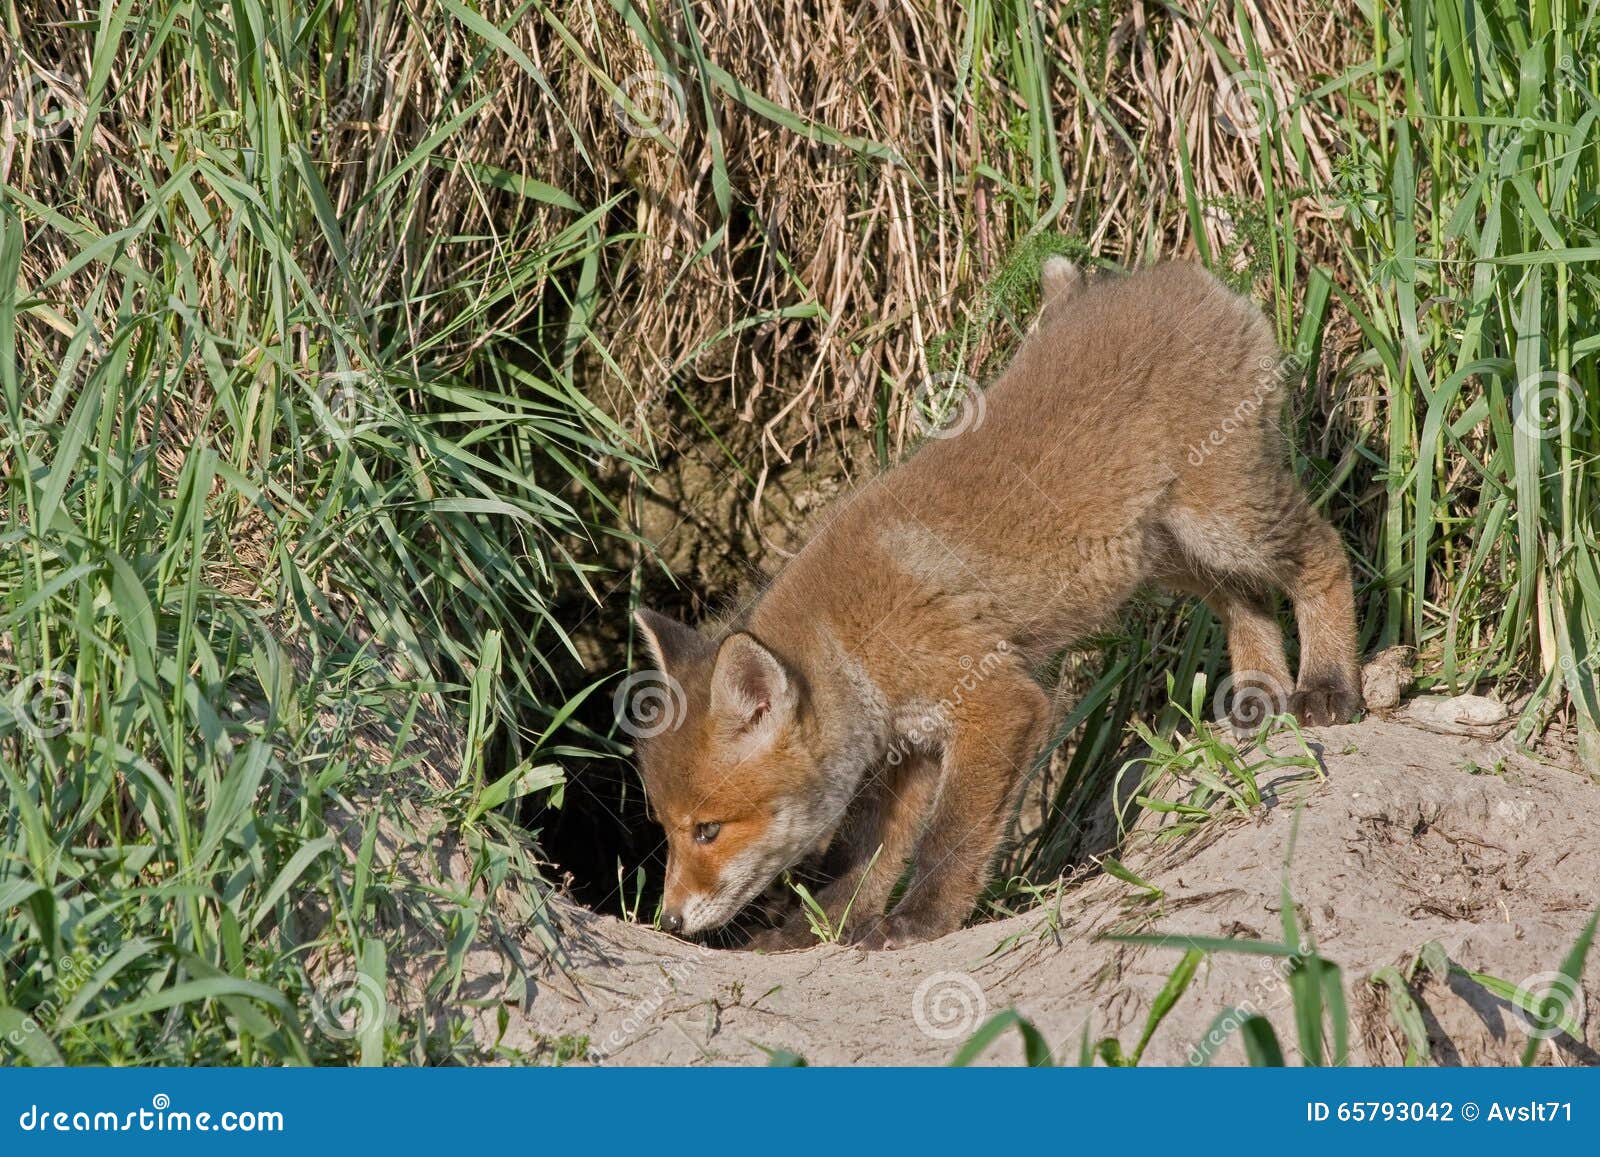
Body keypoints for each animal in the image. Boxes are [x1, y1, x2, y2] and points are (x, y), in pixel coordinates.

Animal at [629, 258, 1361, 950]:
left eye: (708, 829)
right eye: (663, 827)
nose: (669, 919)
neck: (850, 639)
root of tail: (1178, 273)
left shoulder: (997, 703)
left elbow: (947, 838)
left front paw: (921, 920)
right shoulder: (910, 749)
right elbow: (862, 858)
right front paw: (816, 931)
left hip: (1224, 519)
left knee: (1325, 555)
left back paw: (1329, 685)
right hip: (1169, 552)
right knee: (1247, 599)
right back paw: (1260, 694)